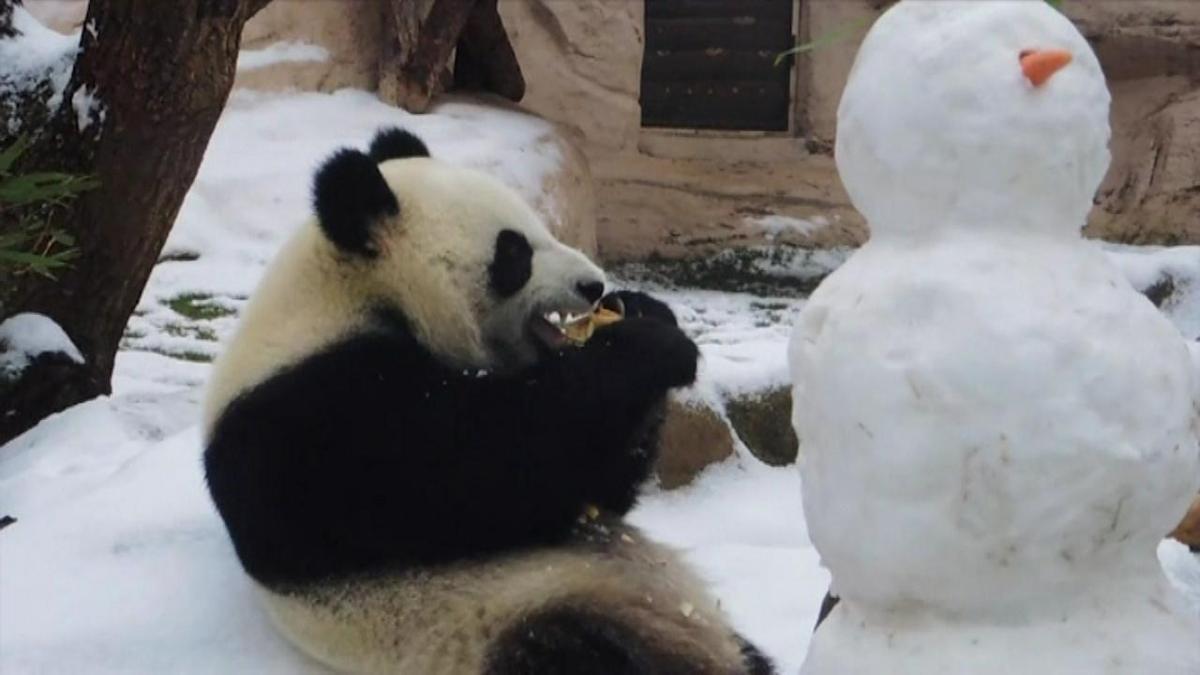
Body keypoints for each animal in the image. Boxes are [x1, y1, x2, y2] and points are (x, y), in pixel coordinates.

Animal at [202, 127, 774, 675]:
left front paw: (641, 309)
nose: (593, 285)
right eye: (514, 252)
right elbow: (487, 468)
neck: (352, 292)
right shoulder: (316, 416)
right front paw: (650, 346)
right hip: (515, 618)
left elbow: (598, 492)